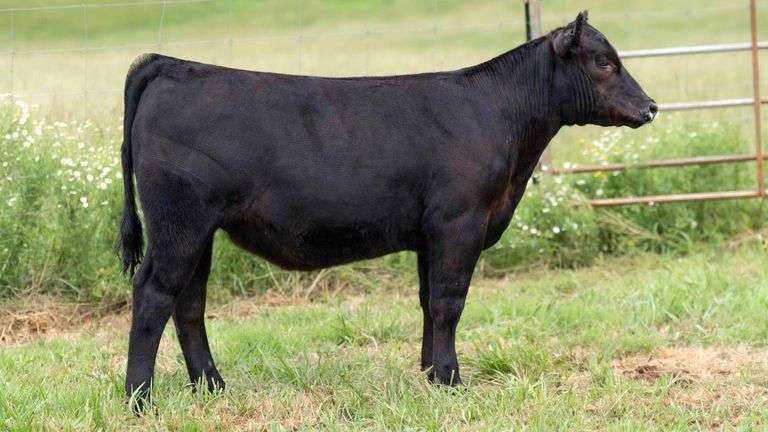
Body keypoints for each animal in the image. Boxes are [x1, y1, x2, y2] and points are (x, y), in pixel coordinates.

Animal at [117, 11, 655, 409]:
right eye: (604, 62)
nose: (651, 107)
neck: (499, 116)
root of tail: (170, 64)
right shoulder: (460, 223)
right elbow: (449, 302)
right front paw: (453, 381)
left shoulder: (429, 235)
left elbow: (427, 301)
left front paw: (432, 375)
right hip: (179, 223)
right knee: (154, 294)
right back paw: (140, 399)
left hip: (198, 230)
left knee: (189, 302)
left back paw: (211, 386)